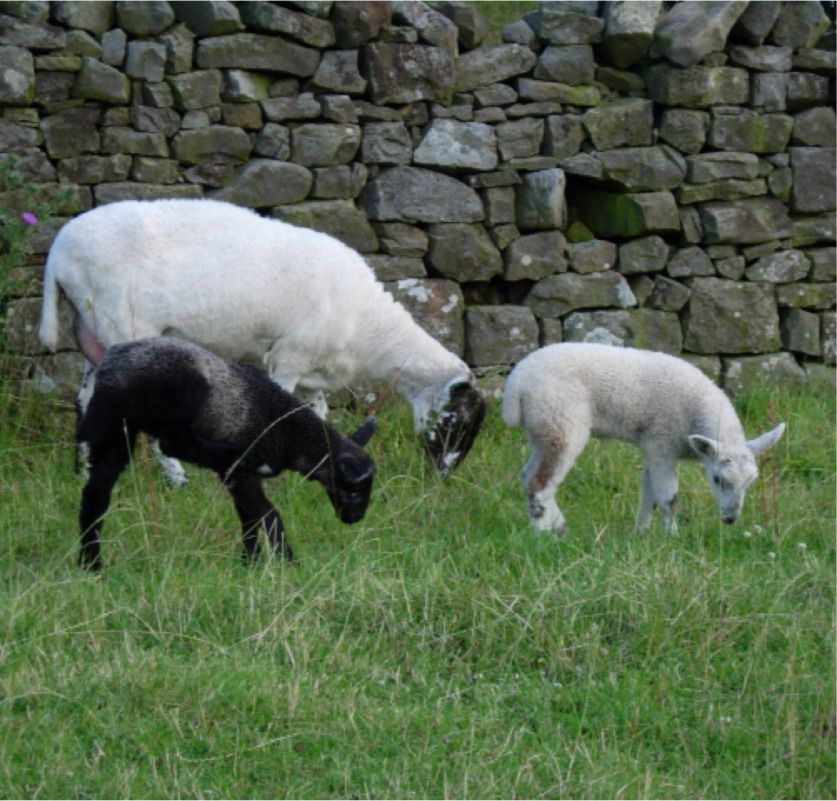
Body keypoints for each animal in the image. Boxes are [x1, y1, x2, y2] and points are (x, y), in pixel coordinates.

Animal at [38, 198, 485, 484]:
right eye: (456, 420)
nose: (443, 477)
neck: (370, 328)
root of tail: (59, 248)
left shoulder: (312, 371)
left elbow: (320, 416)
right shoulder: (287, 358)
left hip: (95, 331)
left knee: (86, 399)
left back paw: (84, 470)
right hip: (126, 328)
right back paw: (176, 479)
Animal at [75, 336, 377, 571]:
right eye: (353, 491)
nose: (355, 519)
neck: (289, 432)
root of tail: (114, 365)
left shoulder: (242, 481)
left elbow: (249, 518)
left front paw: (250, 564)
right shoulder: (239, 476)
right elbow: (267, 514)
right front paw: (288, 563)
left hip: (116, 427)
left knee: (96, 493)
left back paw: (91, 563)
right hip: (180, 398)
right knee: (173, 444)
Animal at [502, 343, 785, 534]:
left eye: (751, 483)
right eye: (717, 479)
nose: (730, 519)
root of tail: (517, 382)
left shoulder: (652, 446)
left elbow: (649, 495)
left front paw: (641, 533)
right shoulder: (662, 444)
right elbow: (668, 498)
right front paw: (673, 537)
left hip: (543, 428)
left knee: (529, 475)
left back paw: (554, 527)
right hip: (562, 420)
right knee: (541, 483)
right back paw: (547, 533)